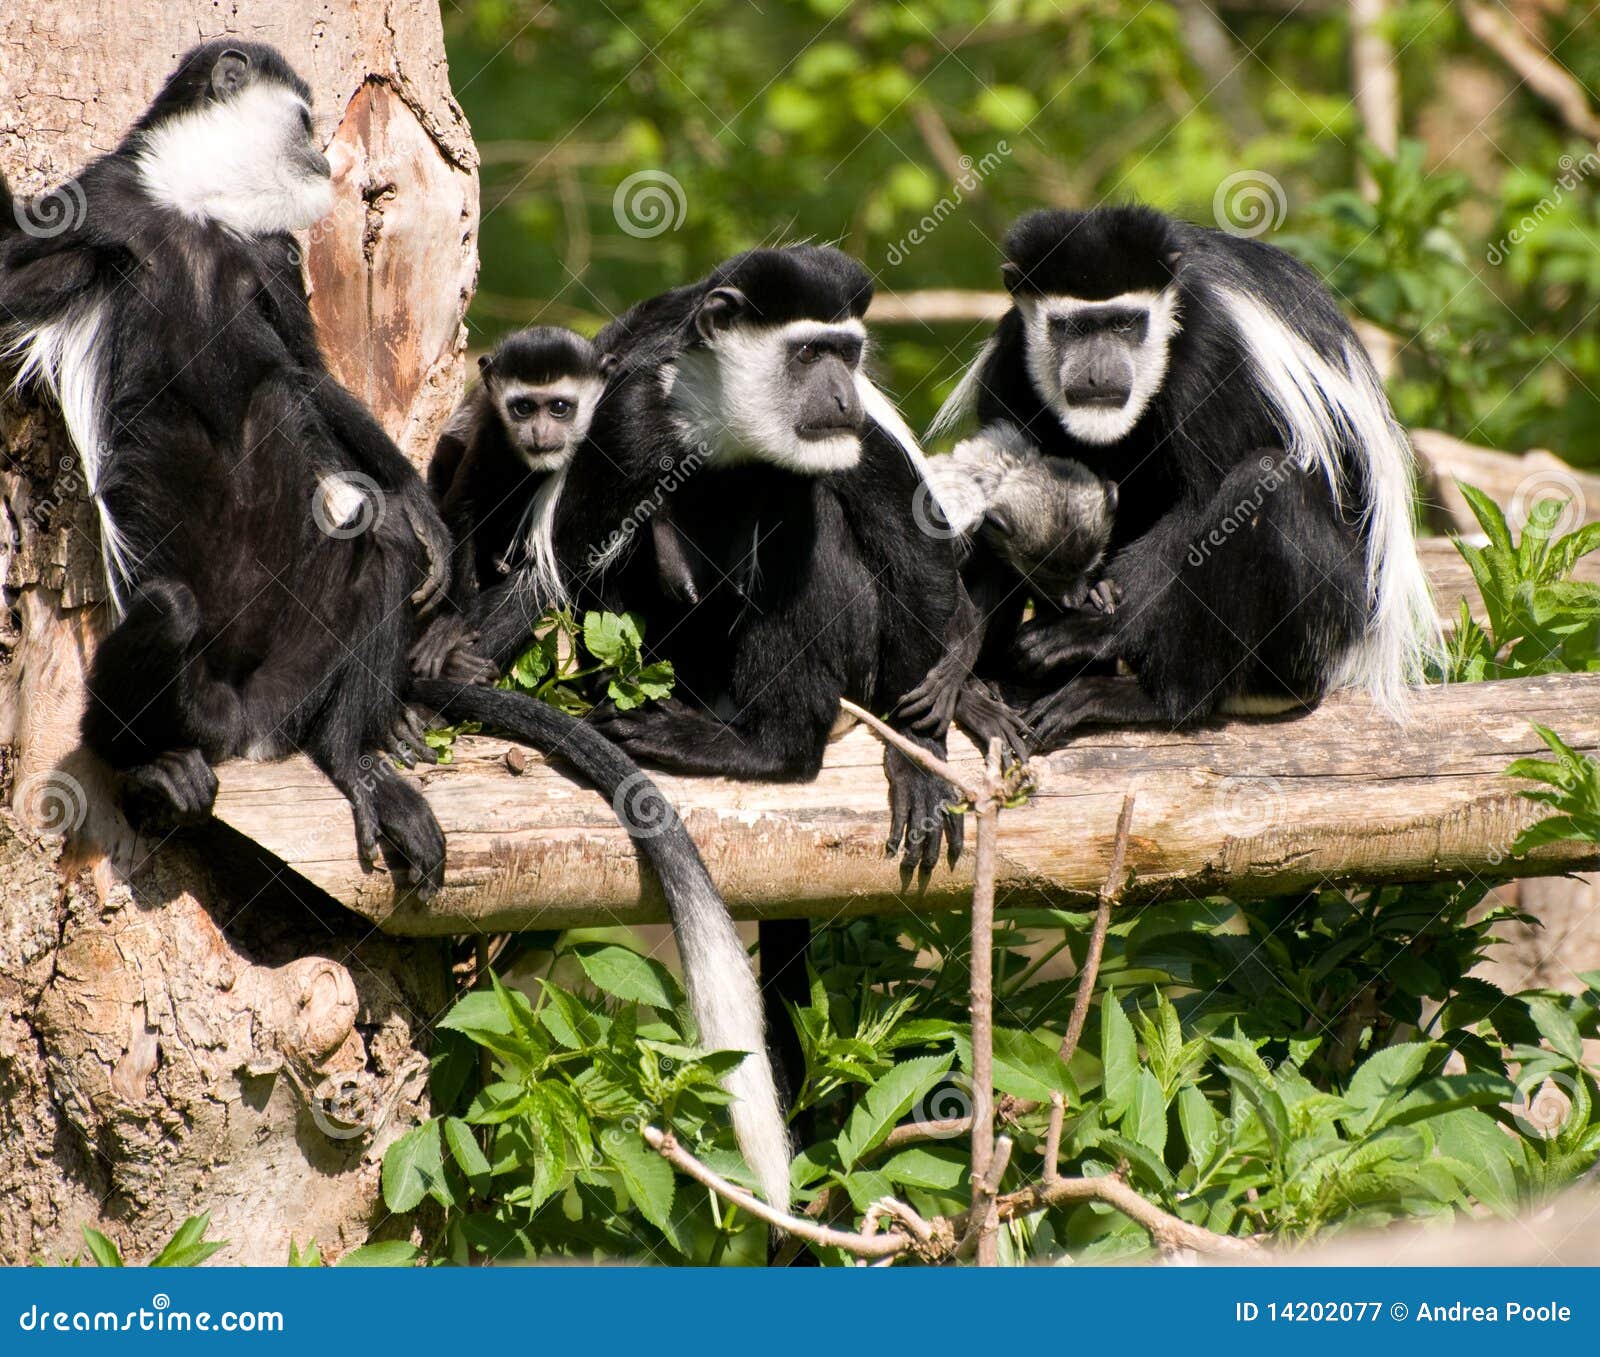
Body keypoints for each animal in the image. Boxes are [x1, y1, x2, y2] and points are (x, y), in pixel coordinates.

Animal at [0, 42, 790, 1210]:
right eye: (300, 118)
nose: (320, 154)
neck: (191, 213)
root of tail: (243, 718)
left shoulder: (266, 257)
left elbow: (309, 377)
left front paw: (418, 512)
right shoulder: (94, 210)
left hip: (304, 656)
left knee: (371, 552)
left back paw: (356, 755)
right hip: (193, 660)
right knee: (170, 617)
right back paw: (152, 766)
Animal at [930, 205, 1438, 751]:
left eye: (1125, 324)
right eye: (1070, 328)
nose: (1097, 372)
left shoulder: (1213, 351)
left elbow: (1204, 507)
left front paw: (1088, 626)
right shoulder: (1011, 357)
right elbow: (997, 518)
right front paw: (965, 679)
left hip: (1332, 616)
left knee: (1268, 491)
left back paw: (1159, 698)